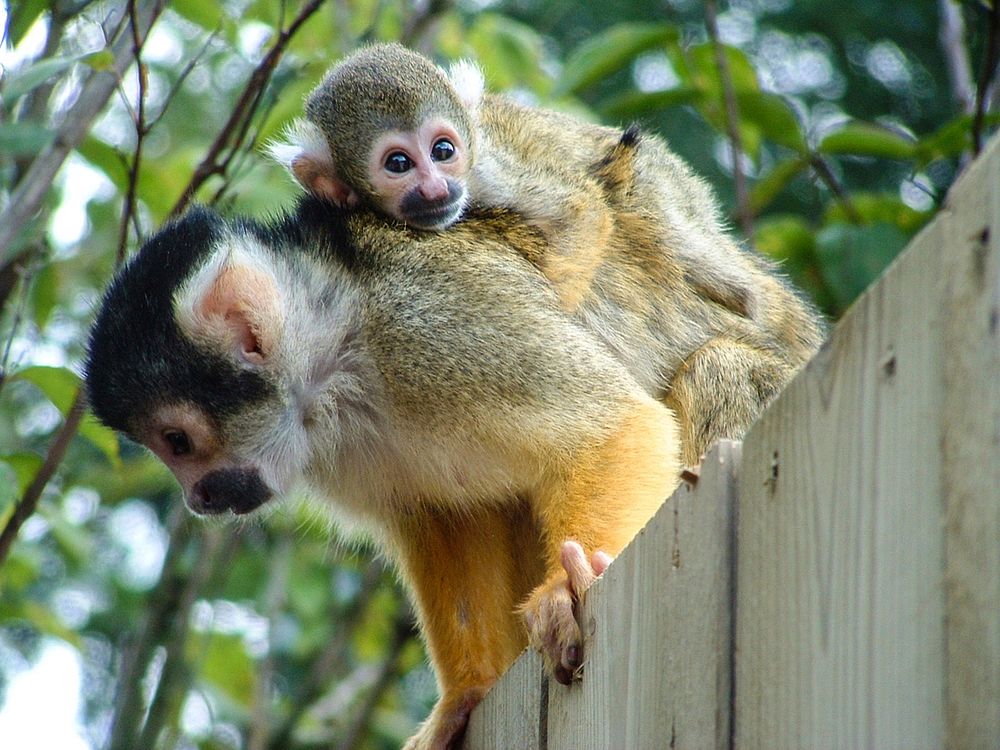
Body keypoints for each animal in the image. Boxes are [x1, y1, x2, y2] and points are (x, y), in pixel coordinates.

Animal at [86, 197, 683, 749]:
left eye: (178, 442)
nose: (197, 498)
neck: (344, 346)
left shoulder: (437, 323)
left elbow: (614, 427)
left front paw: (563, 590)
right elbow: (450, 516)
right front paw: (466, 689)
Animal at [268, 42, 776, 318]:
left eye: (443, 151)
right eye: (398, 164)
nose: (436, 189)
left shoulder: (487, 167)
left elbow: (579, 210)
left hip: (664, 186)